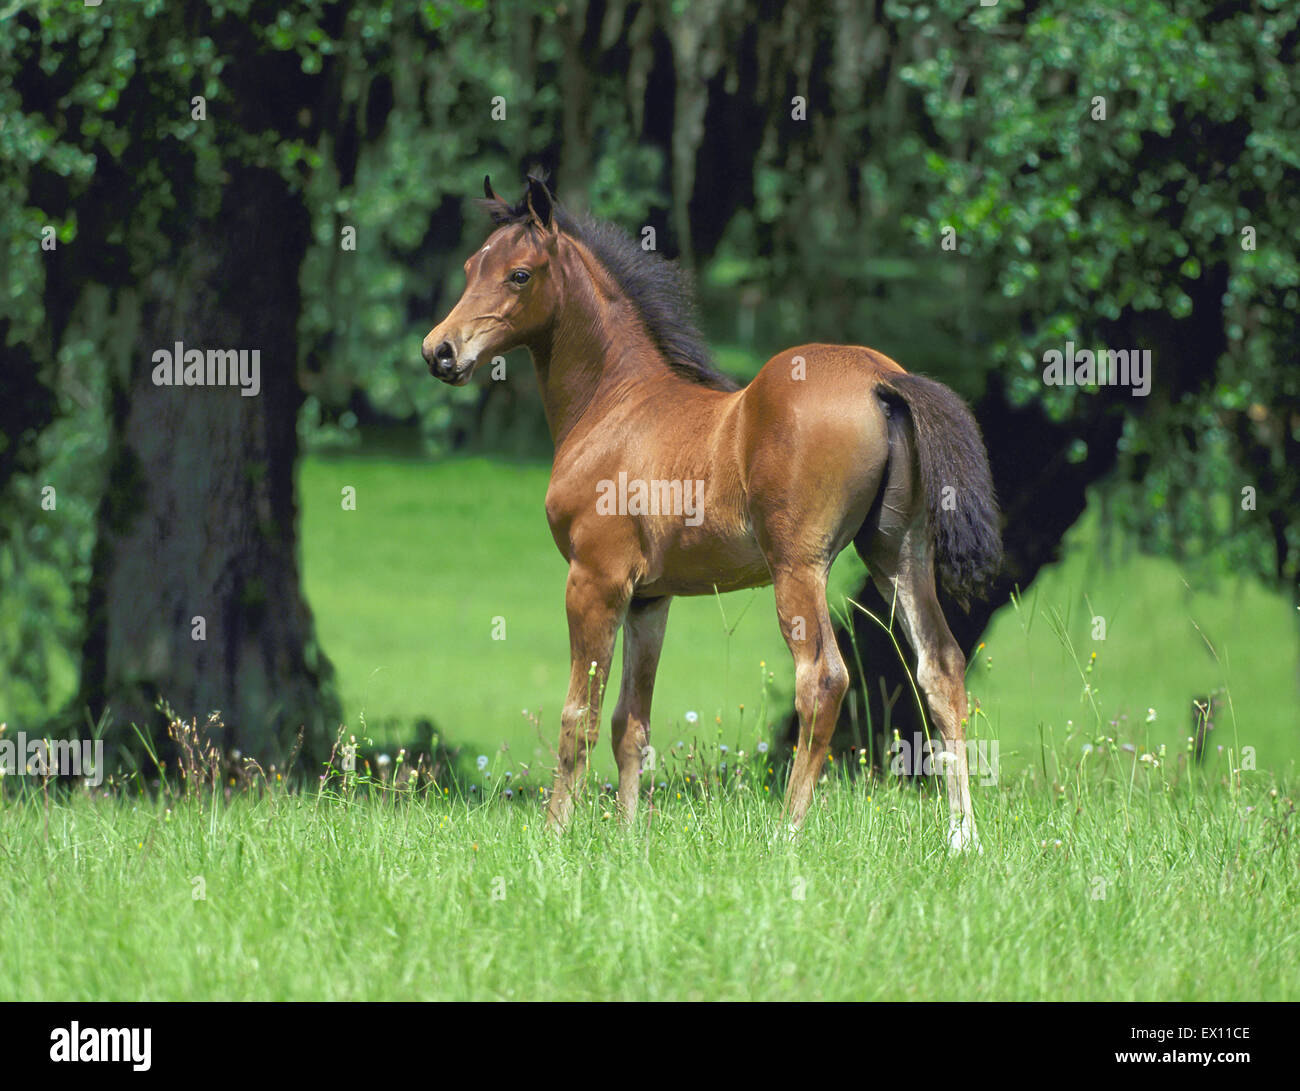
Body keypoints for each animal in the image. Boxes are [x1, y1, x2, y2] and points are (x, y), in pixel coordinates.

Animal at [422, 174, 1001, 852]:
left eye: (518, 274)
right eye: (470, 267)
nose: (439, 351)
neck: (614, 405)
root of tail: (882, 378)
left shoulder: (594, 580)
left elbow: (578, 717)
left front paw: (556, 835)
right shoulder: (650, 598)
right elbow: (630, 723)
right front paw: (629, 838)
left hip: (798, 566)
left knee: (824, 679)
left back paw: (787, 832)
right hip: (898, 554)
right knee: (942, 668)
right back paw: (962, 836)